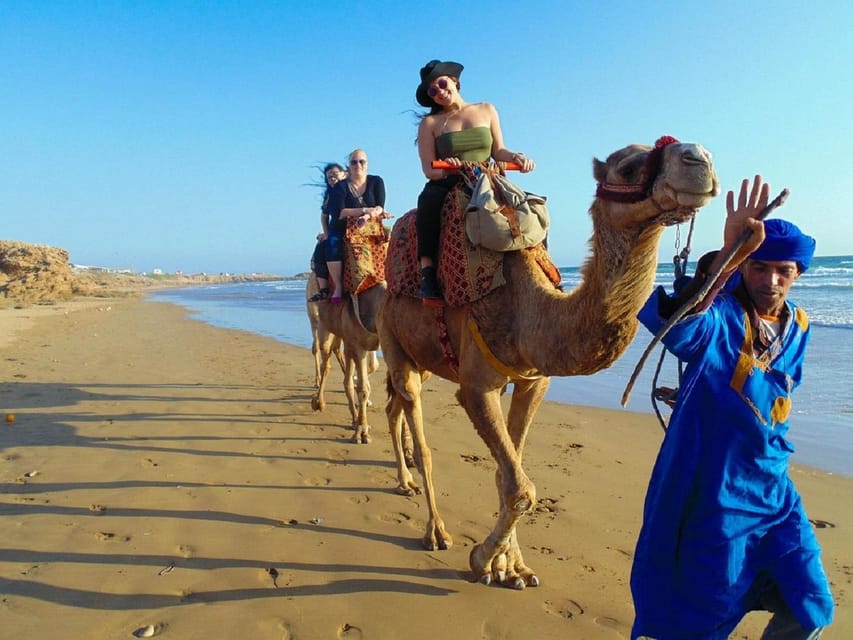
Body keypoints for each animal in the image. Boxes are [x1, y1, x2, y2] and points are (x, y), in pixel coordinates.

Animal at [376, 138, 719, 589]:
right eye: (628, 168)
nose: (699, 159)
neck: (528, 310)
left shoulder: (532, 380)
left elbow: (509, 474)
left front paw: (512, 567)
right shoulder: (476, 387)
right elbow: (519, 487)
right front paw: (482, 559)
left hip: (424, 358)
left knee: (394, 406)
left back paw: (404, 483)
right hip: (392, 337)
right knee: (418, 430)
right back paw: (435, 530)